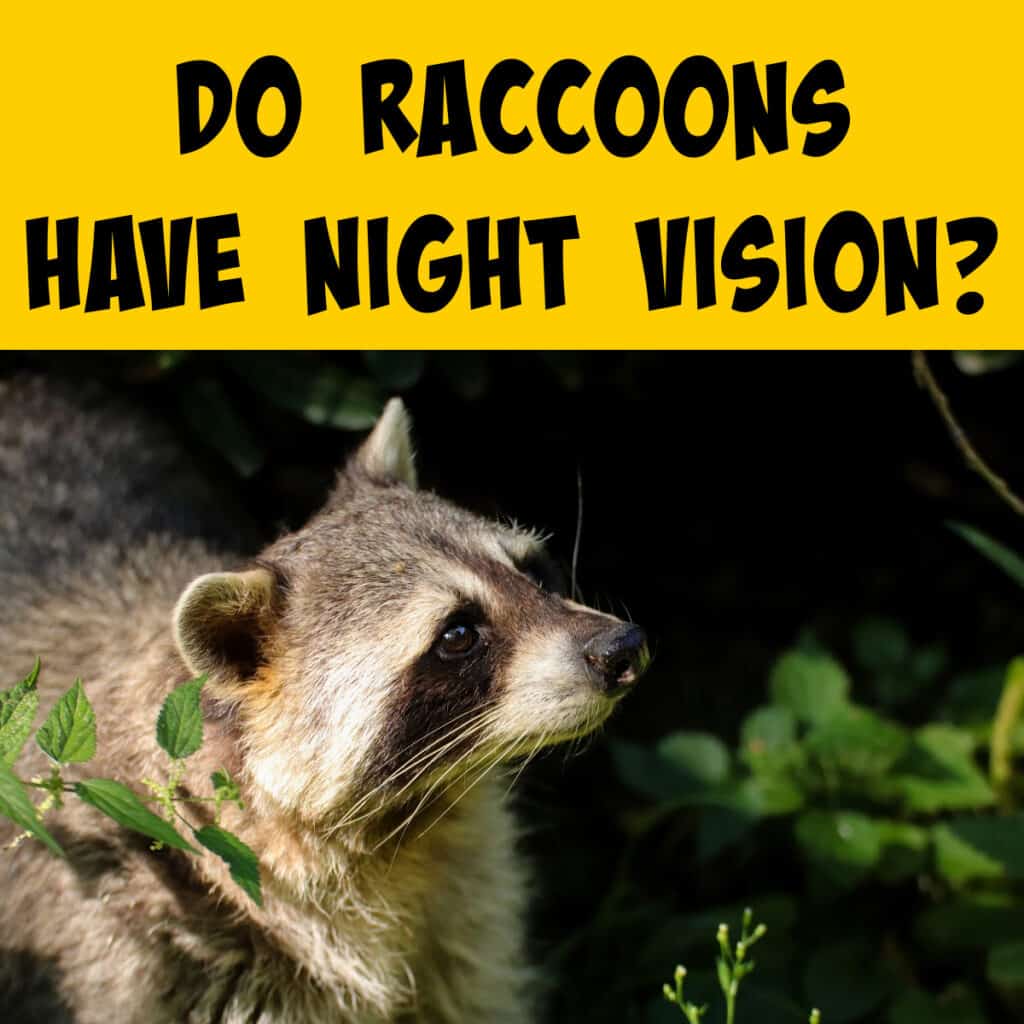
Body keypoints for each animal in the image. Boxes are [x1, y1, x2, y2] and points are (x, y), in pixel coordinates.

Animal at [0, 376, 649, 1024]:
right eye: (457, 634)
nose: (622, 647)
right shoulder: (133, 931)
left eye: (533, 574)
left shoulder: (464, 917)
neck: (406, 832)